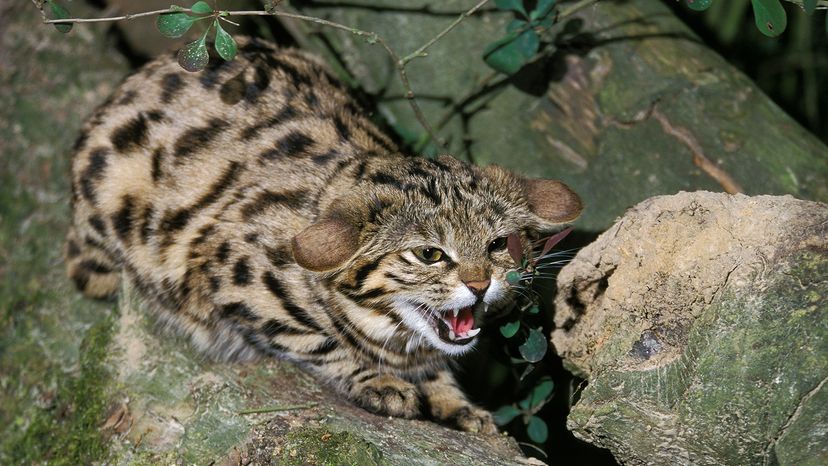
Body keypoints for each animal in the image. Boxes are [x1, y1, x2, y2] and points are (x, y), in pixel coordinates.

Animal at [66, 37, 584, 434]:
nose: (480, 284)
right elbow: (316, 342)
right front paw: (379, 381)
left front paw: (455, 402)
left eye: (497, 245)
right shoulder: (229, 274)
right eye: (429, 253)